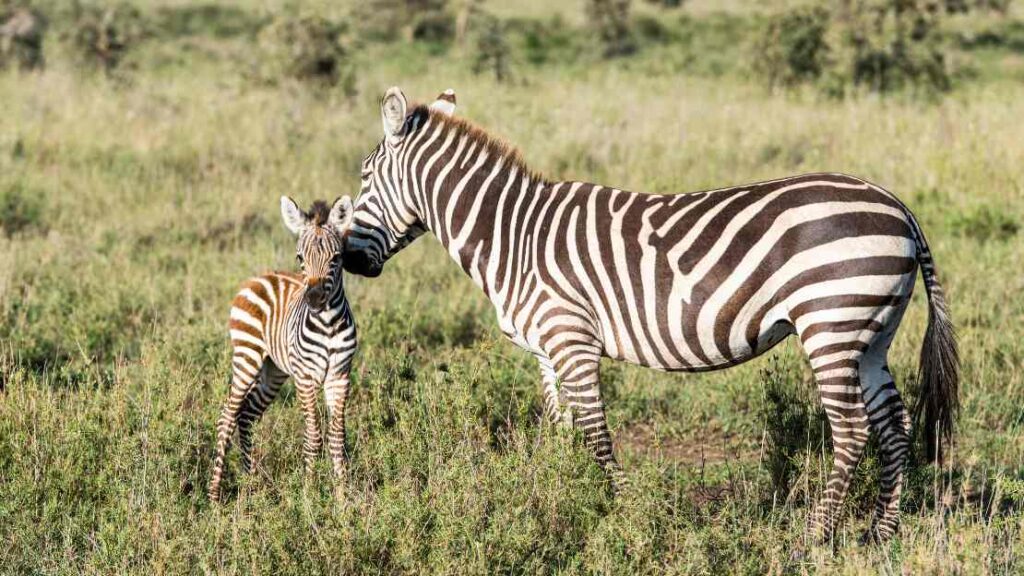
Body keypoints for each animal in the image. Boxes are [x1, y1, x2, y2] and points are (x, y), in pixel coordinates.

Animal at [208, 196, 358, 503]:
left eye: (336, 259)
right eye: (300, 258)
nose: (314, 298)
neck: (327, 324)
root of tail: (260, 276)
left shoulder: (340, 376)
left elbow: (338, 438)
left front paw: (342, 501)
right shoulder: (305, 377)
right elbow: (313, 435)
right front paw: (310, 495)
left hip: (273, 370)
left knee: (247, 415)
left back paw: (250, 481)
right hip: (247, 356)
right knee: (227, 416)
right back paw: (215, 495)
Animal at [341, 87, 959, 543]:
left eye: (364, 178)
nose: (347, 260)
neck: (513, 235)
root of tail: (898, 206)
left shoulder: (571, 337)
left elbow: (595, 433)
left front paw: (623, 511)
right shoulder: (546, 350)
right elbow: (561, 430)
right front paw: (559, 499)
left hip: (830, 324)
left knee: (853, 430)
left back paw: (813, 536)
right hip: (869, 335)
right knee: (894, 424)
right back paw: (880, 531)